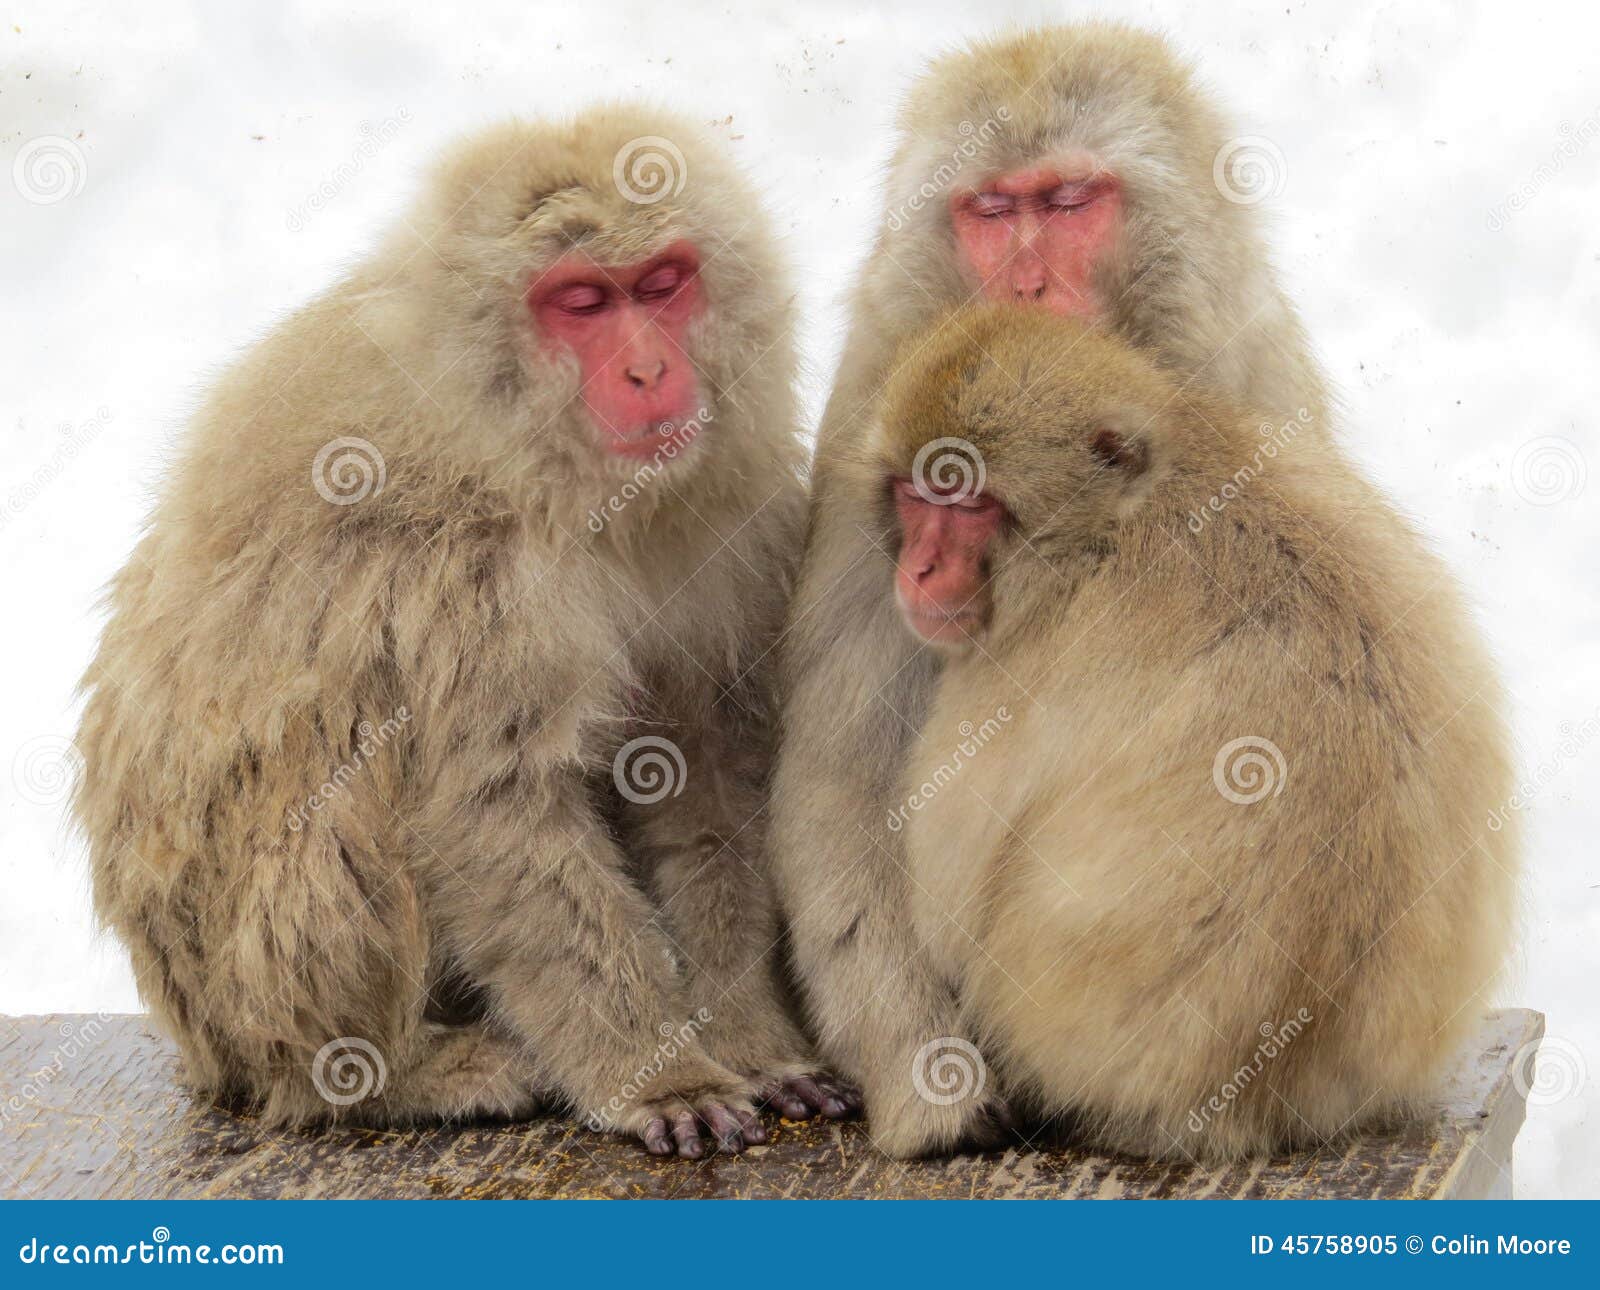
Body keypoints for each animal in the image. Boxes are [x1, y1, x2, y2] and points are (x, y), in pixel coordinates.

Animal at [71, 107, 859, 1159]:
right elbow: (491, 812)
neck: (555, 474)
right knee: (350, 767)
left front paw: (748, 1040)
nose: (650, 368)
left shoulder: (731, 524)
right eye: (580, 302)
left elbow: (698, 770)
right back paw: (384, 1078)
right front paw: (658, 1076)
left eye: (661, 284)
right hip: (239, 990)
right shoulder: (467, 579)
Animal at [771, 21, 1336, 1154]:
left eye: (1069, 200)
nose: (1026, 290)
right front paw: (932, 1083)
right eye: (991, 211)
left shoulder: (1256, 388)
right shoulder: (873, 418)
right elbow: (844, 768)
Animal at [848, 302, 1518, 1160]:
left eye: (966, 505)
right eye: (914, 494)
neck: (1116, 524)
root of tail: (1262, 1095)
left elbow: (954, 898)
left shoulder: (1013, 670)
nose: (920, 570)